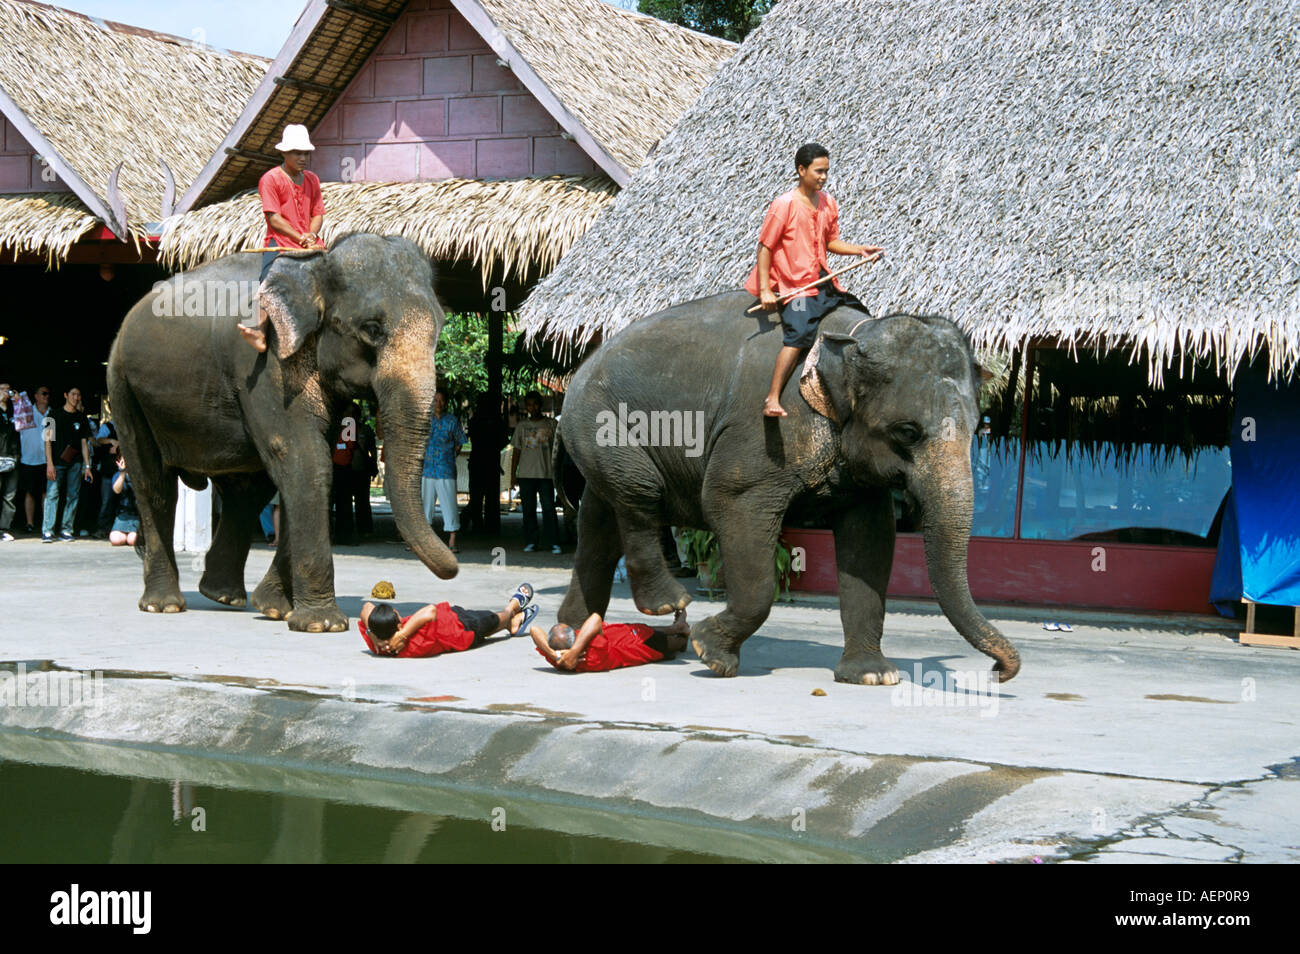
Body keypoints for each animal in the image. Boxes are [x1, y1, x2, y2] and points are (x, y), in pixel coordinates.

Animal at [106, 232, 457, 632]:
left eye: (440, 327)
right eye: (372, 329)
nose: (453, 568)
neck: (317, 267)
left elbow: (308, 465)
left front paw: (275, 609)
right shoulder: (262, 364)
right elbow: (305, 460)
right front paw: (322, 625)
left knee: (247, 490)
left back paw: (224, 596)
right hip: (123, 385)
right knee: (154, 484)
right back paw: (163, 605)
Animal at [554, 292, 1021, 684]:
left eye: (978, 428)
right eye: (907, 432)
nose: (997, 672)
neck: (851, 336)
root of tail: (584, 363)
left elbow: (871, 538)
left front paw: (872, 675)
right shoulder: (764, 434)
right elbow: (729, 504)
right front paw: (710, 651)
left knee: (599, 524)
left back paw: (572, 637)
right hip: (596, 419)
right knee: (639, 490)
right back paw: (666, 606)